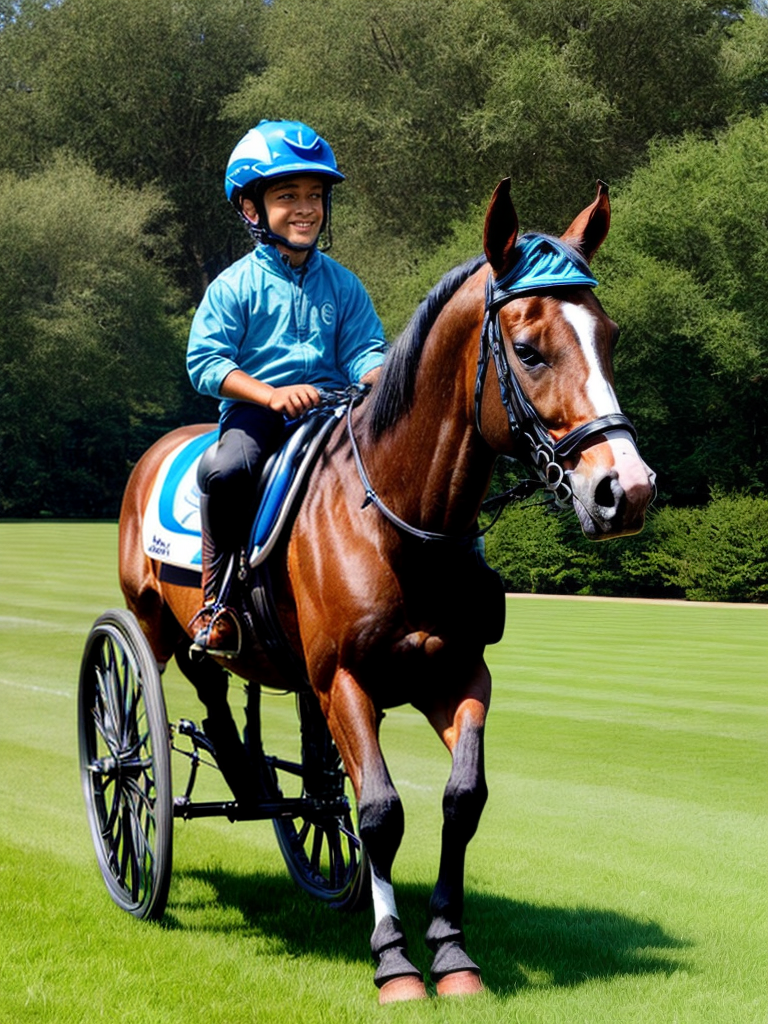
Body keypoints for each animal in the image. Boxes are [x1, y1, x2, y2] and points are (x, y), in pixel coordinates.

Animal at [119, 178, 655, 1002]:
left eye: (611, 338)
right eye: (529, 349)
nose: (625, 490)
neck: (398, 520)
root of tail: (161, 452)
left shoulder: (458, 674)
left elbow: (459, 801)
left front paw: (451, 949)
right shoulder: (346, 679)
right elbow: (378, 811)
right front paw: (396, 960)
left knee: (263, 732)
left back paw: (254, 779)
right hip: (149, 627)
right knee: (157, 711)